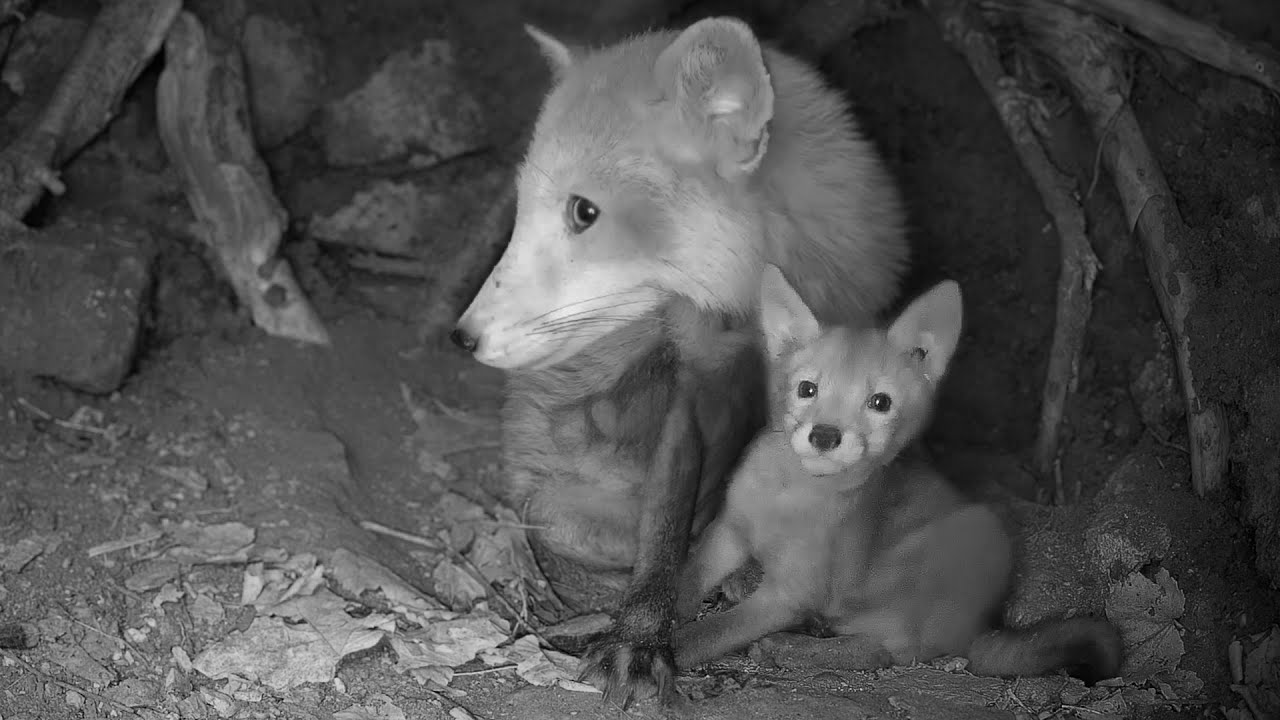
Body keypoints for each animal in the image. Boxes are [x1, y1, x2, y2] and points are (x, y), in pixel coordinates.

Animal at [449, 16, 909, 705]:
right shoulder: (692, 377)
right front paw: (640, 635)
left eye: (584, 211)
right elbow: (668, 529)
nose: (464, 336)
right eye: (520, 208)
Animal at [672, 266, 1124, 683]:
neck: (789, 496)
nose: (824, 436)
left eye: (880, 402)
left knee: (883, 651)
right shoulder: (728, 531)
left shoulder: (788, 594)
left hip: (950, 545)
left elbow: (714, 631)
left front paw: (665, 652)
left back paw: (789, 646)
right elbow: (686, 578)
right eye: (806, 389)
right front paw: (663, 611)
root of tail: (981, 628)